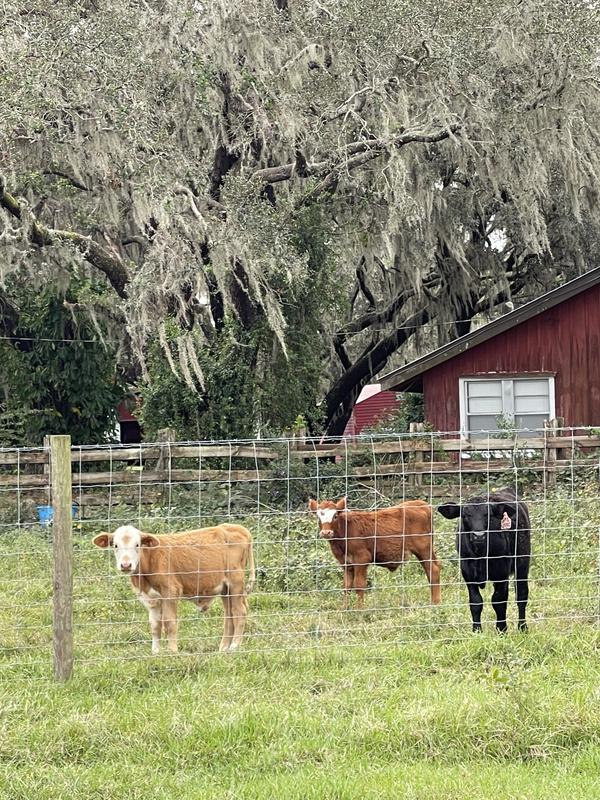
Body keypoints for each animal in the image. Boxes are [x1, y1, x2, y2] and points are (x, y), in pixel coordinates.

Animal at [92, 522, 255, 654]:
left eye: (137, 545)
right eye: (115, 545)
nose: (126, 565)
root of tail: (238, 528)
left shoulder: (170, 591)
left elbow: (169, 623)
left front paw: (172, 652)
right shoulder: (151, 598)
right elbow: (155, 625)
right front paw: (155, 652)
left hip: (235, 582)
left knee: (240, 612)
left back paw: (234, 646)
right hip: (225, 589)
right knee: (229, 615)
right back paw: (223, 648)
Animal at [308, 497, 441, 609]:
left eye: (335, 515)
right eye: (318, 517)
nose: (326, 533)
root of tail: (422, 504)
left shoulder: (362, 559)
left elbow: (359, 585)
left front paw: (359, 610)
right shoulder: (346, 563)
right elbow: (346, 586)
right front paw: (345, 610)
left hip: (423, 549)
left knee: (433, 570)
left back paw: (435, 604)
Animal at [437, 488, 531, 632]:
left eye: (488, 515)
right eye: (465, 515)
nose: (479, 535)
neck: (480, 554)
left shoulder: (501, 571)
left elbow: (498, 601)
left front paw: (501, 629)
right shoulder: (467, 571)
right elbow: (476, 602)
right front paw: (477, 630)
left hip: (522, 562)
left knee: (521, 594)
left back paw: (522, 627)